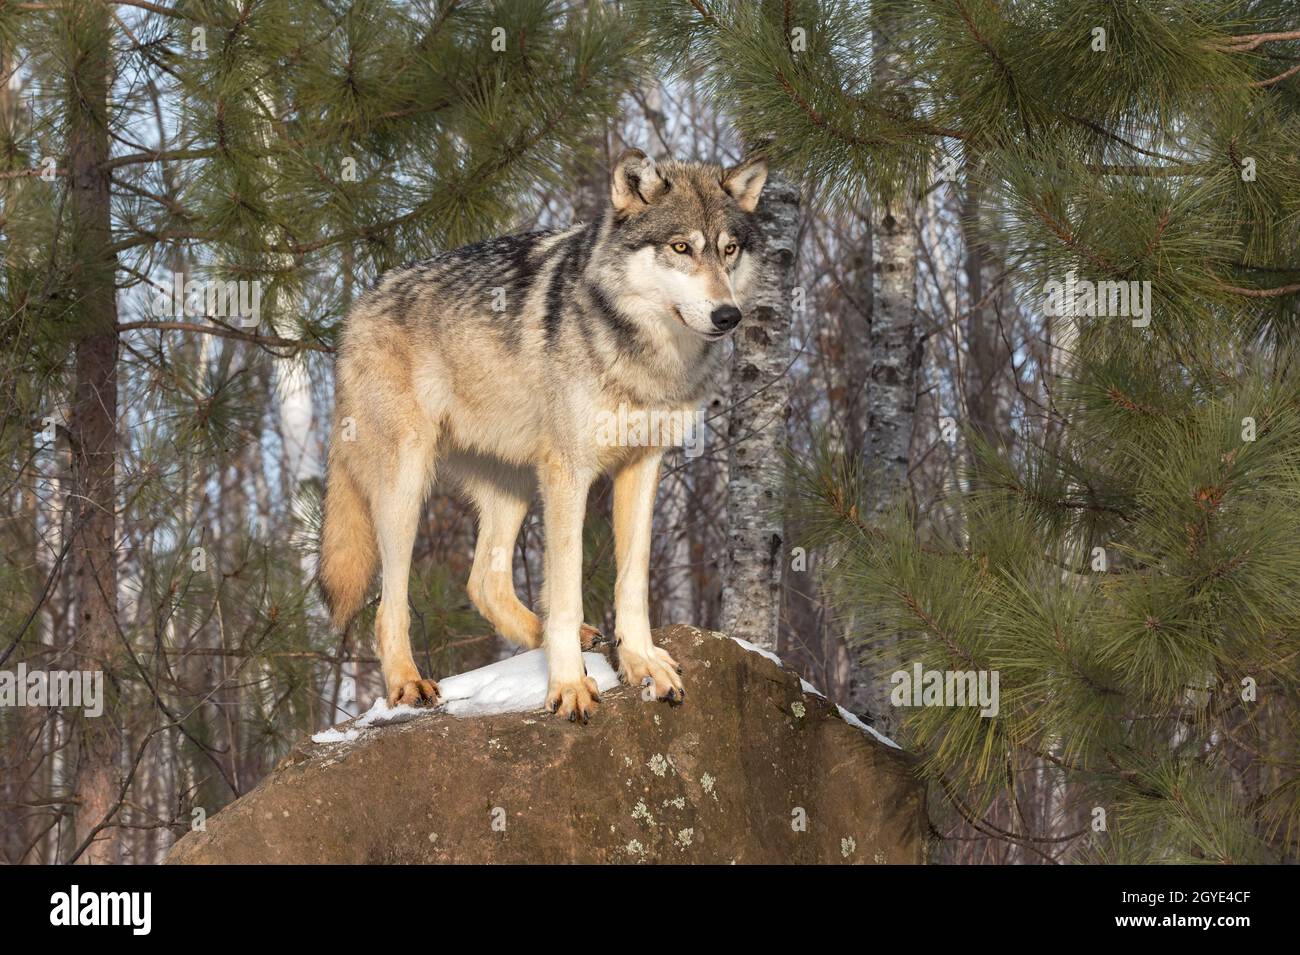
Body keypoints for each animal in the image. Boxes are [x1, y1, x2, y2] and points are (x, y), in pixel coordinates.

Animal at [318, 149, 769, 722]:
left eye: (729, 250)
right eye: (681, 248)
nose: (728, 315)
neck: (648, 357)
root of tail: (358, 308)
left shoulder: (643, 466)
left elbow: (632, 581)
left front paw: (643, 666)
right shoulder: (569, 473)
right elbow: (568, 587)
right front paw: (570, 687)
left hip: (514, 486)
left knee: (483, 583)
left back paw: (576, 639)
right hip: (406, 487)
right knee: (389, 603)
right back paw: (407, 683)